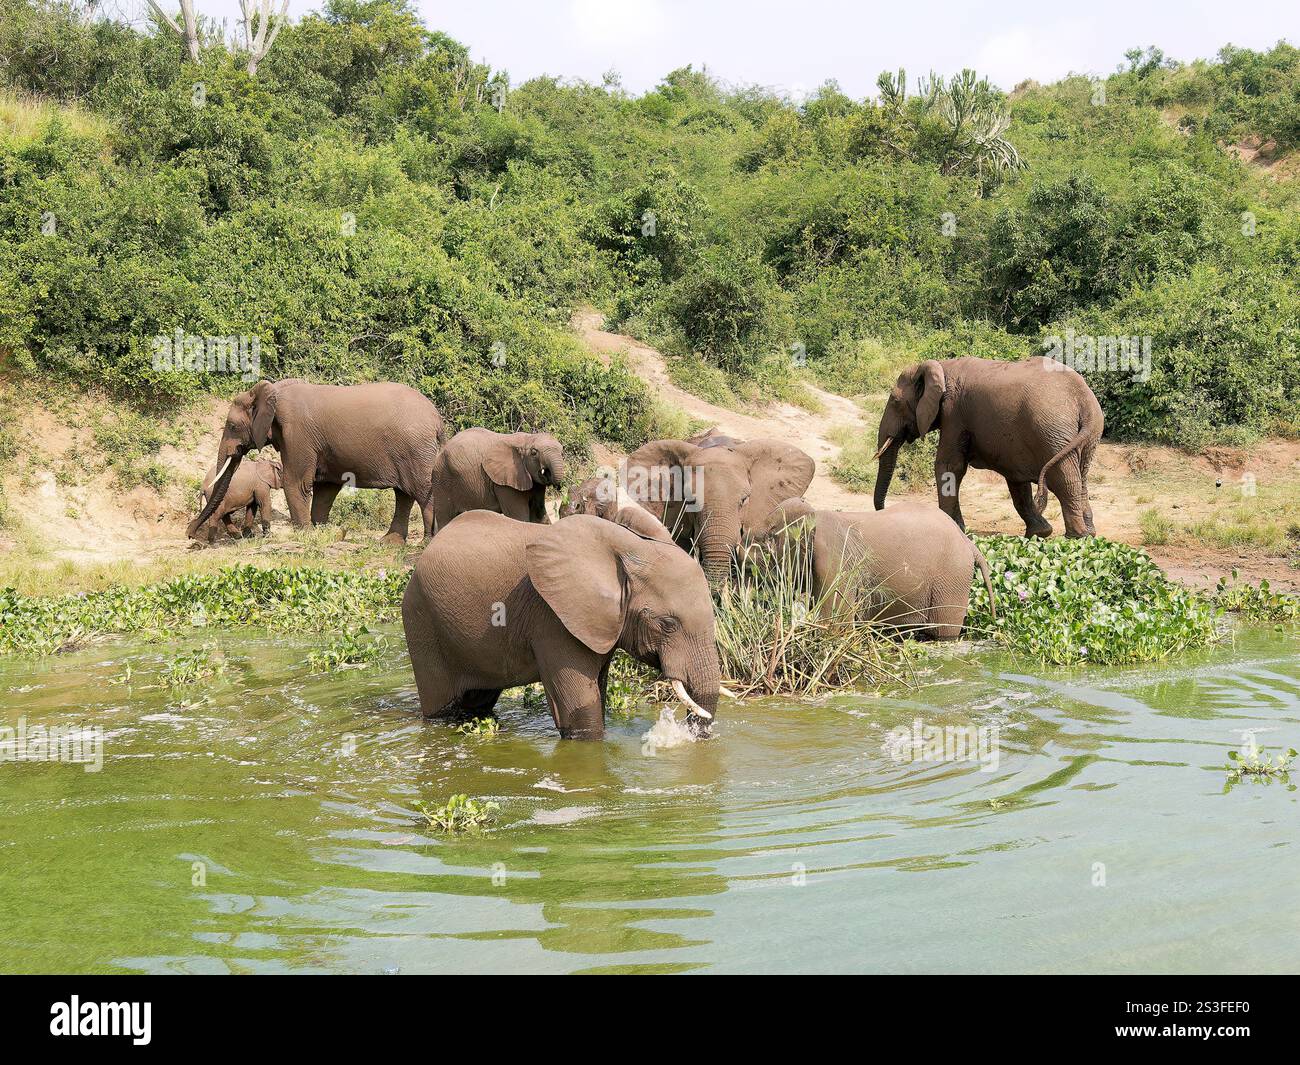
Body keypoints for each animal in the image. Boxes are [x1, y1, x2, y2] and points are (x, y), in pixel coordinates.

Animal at [188, 379, 447, 544]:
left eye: (232, 426)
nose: (189, 534)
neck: (274, 390)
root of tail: (437, 418)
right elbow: (325, 488)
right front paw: (320, 532)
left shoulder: (297, 434)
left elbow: (296, 482)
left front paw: (304, 534)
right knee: (403, 494)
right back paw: (389, 543)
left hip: (416, 449)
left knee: (422, 491)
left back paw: (427, 541)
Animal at [402, 511, 721, 739]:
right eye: (667, 624)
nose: (695, 736)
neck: (631, 547)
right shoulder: (552, 618)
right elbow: (581, 707)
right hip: (421, 620)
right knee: (441, 706)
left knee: (476, 701)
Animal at [430, 429, 566, 533]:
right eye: (534, 452)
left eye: (562, 451)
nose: (558, 487)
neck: (526, 439)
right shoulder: (505, 483)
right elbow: (519, 517)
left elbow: (539, 514)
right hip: (442, 480)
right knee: (445, 517)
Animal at [749, 498, 997, 640]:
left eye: (766, 542)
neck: (813, 515)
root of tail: (969, 543)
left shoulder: (835, 560)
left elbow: (835, 623)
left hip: (952, 577)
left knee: (942, 630)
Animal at [872, 356, 1104, 538]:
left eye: (895, 402)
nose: (884, 511)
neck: (941, 366)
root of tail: (1083, 398)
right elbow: (1016, 480)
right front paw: (1040, 533)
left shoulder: (954, 413)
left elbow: (949, 466)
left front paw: (954, 529)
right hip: (1082, 435)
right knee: (1081, 478)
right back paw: (1089, 533)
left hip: (1052, 432)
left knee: (1065, 480)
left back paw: (1077, 536)